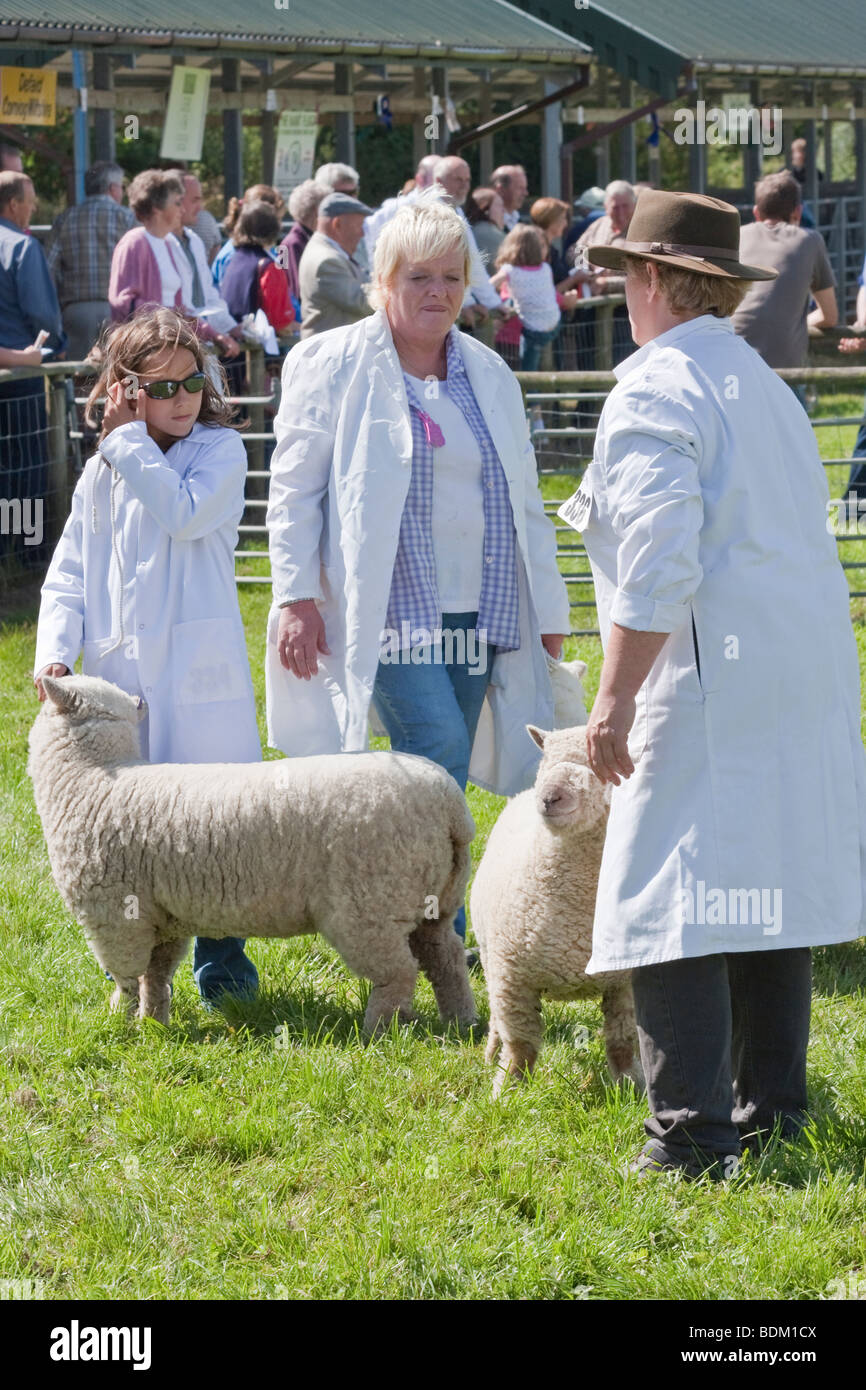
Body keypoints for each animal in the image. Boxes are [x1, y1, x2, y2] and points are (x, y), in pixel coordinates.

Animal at [28, 675, 478, 1036]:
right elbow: (156, 975)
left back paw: (379, 1032)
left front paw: (119, 1020)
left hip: (370, 905)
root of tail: (449, 801)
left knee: (399, 973)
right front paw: (153, 1023)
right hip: (433, 901)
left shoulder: (115, 917)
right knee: (446, 958)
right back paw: (461, 1021)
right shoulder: (164, 917)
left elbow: (127, 976)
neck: (92, 778)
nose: (141, 700)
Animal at [470, 723, 644, 1096]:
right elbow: (520, 1047)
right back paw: (491, 1055)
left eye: (598, 764)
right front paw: (507, 1092)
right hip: (490, 960)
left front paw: (629, 1086)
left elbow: (623, 1042)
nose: (549, 797)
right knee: (495, 1020)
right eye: (546, 762)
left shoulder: (625, 983)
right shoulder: (513, 981)